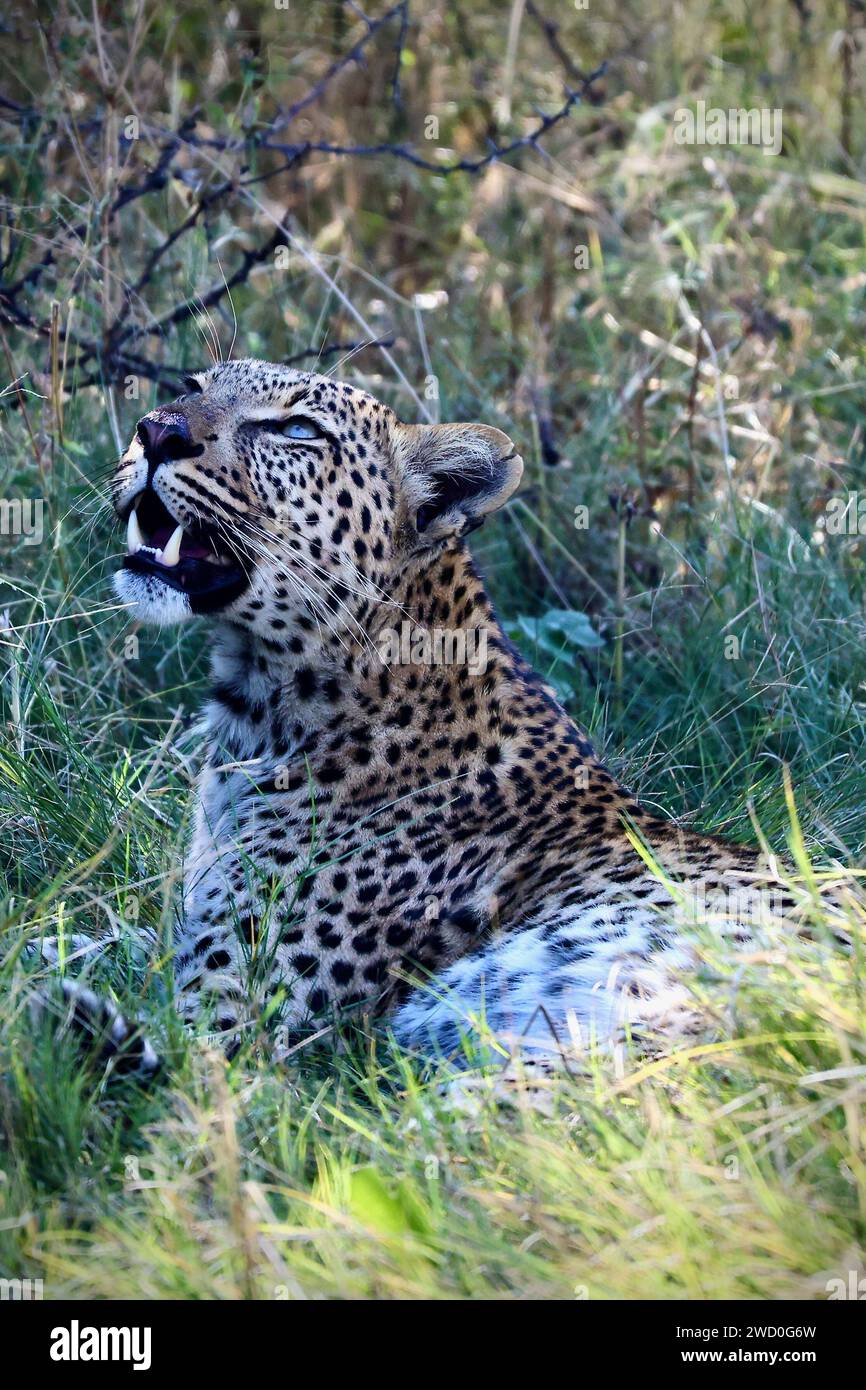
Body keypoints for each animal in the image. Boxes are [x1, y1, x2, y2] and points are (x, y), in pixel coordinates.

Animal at [54, 357, 803, 1076]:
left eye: (296, 430)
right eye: (191, 386)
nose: (156, 430)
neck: (258, 707)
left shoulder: (235, 996)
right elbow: (92, 933)